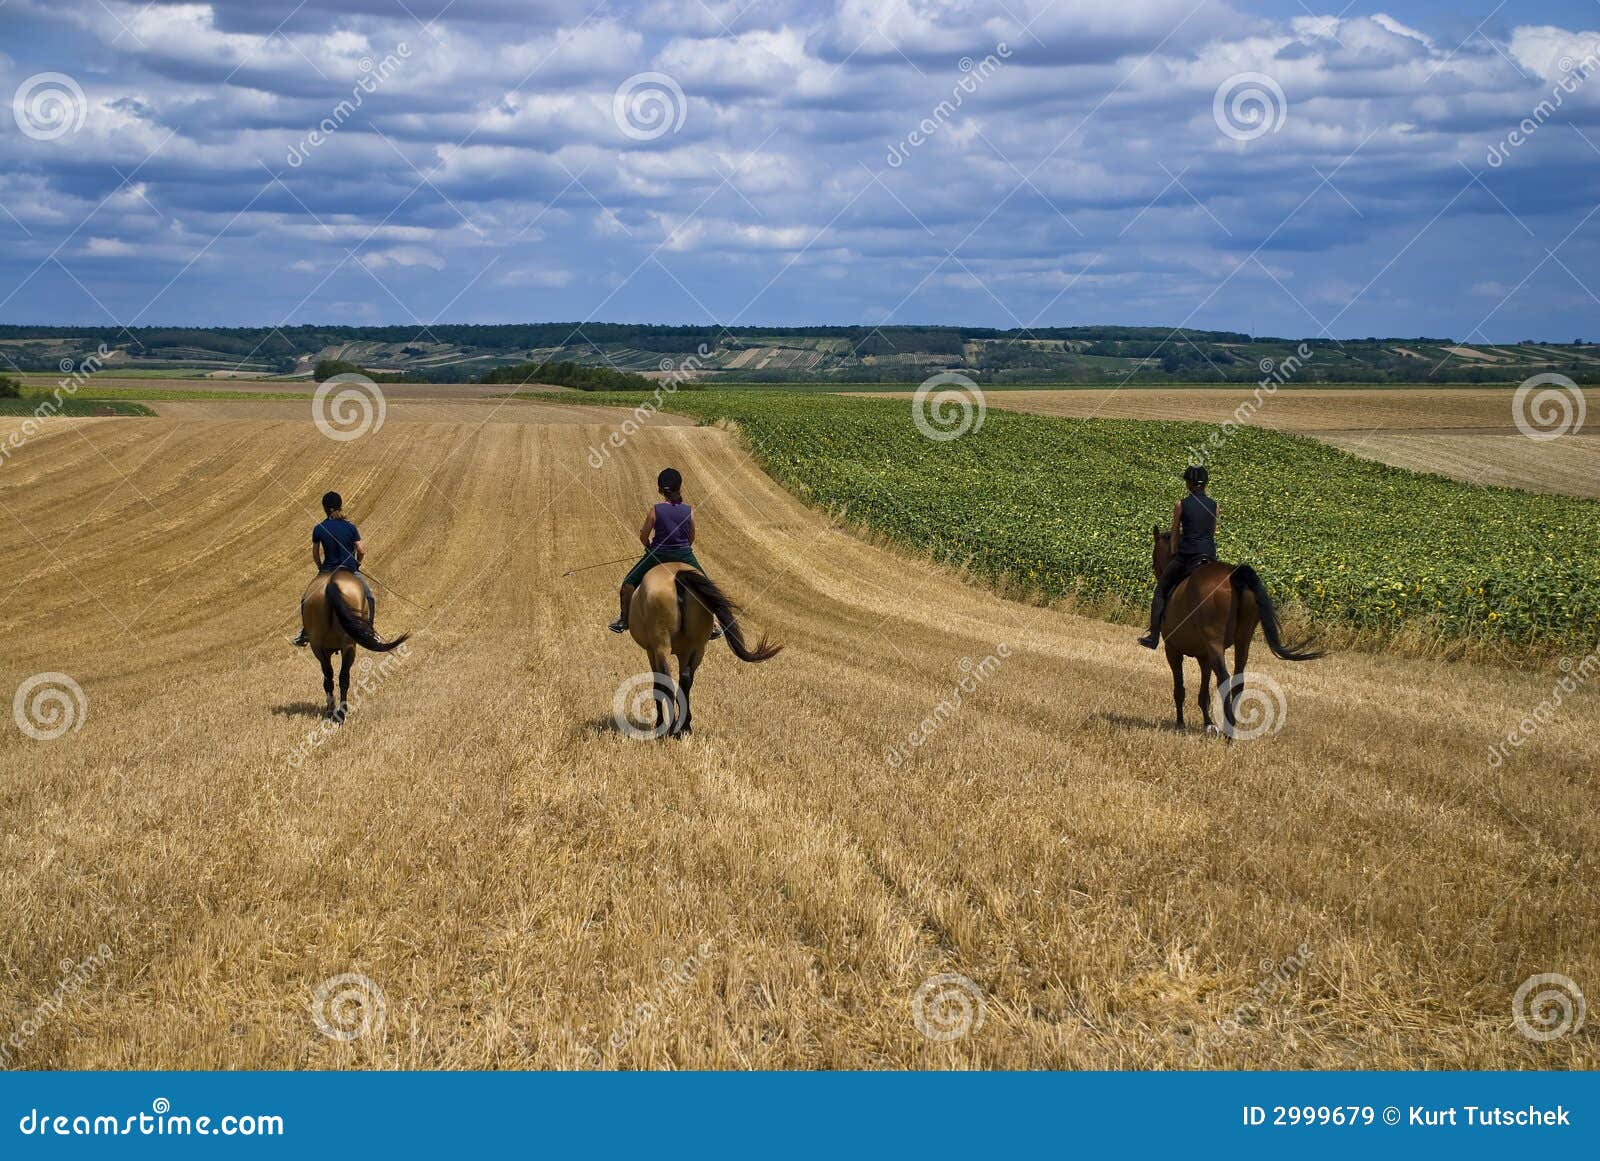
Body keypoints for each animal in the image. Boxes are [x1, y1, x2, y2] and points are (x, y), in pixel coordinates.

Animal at [299, 570, 410, 721]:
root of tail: (330, 582)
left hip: (318, 646)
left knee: (330, 678)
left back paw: (331, 711)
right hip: (349, 645)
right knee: (343, 677)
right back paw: (341, 713)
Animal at [626, 564, 781, 738]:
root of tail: (677, 577)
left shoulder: (651, 650)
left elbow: (657, 685)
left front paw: (659, 722)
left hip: (662, 644)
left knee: (667, 680)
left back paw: (669, 728)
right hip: (697, 648)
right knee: (686, 680)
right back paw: (683, 727)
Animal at [1149, 526, 1322, 737]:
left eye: (1155, 556)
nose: (1157, 571)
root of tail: (1233, 576)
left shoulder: (1173, 650)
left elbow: (1180, 689)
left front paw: (1181, 724)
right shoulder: (1204, 655)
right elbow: (1203, 693)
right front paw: (1208, 724)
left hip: (1214, 642)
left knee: (1224, 678)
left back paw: (1228, 729)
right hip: (1243, 640)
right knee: (1239, 679)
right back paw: (1231, 728)